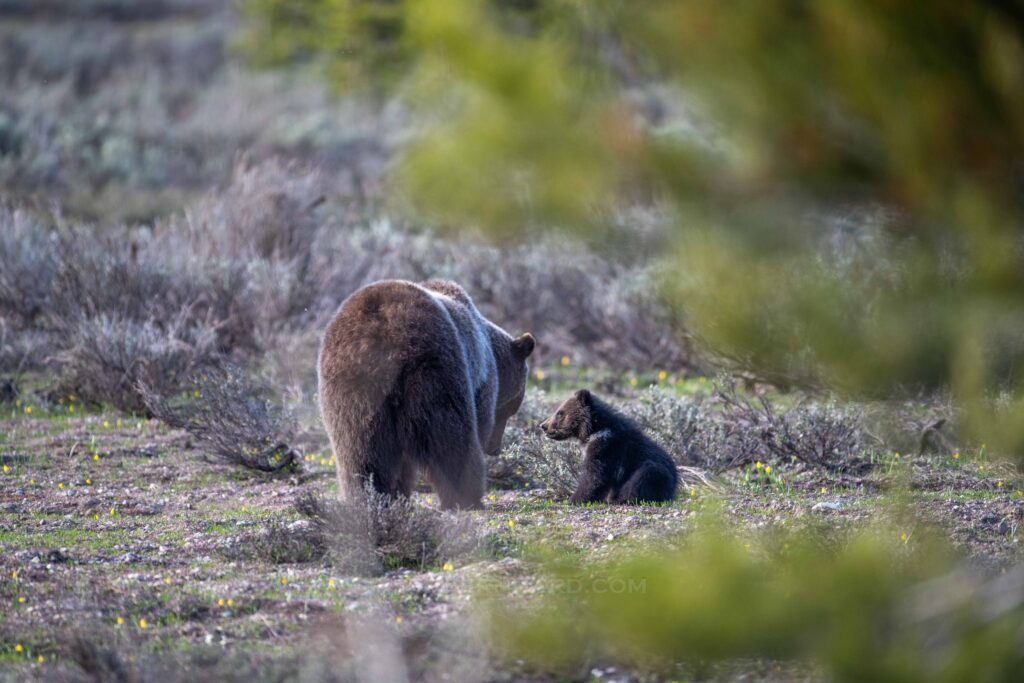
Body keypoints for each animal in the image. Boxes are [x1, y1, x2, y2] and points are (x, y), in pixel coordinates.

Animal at [318, 279, 535, 510]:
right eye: (510, 409)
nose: (495, 448)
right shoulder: (481, 379)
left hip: (350, 386)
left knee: (359, 450)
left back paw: (368, 498)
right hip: (432, 366)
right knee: (449, 436)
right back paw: (465, 496)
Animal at [540, 389, 678, 504]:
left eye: (560, 413)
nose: (543, 425)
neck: (594, 430)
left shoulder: (607, 447)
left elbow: (595, 476)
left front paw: (575, 498)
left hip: (658, 474)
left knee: (647, 473)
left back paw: (624, 498)